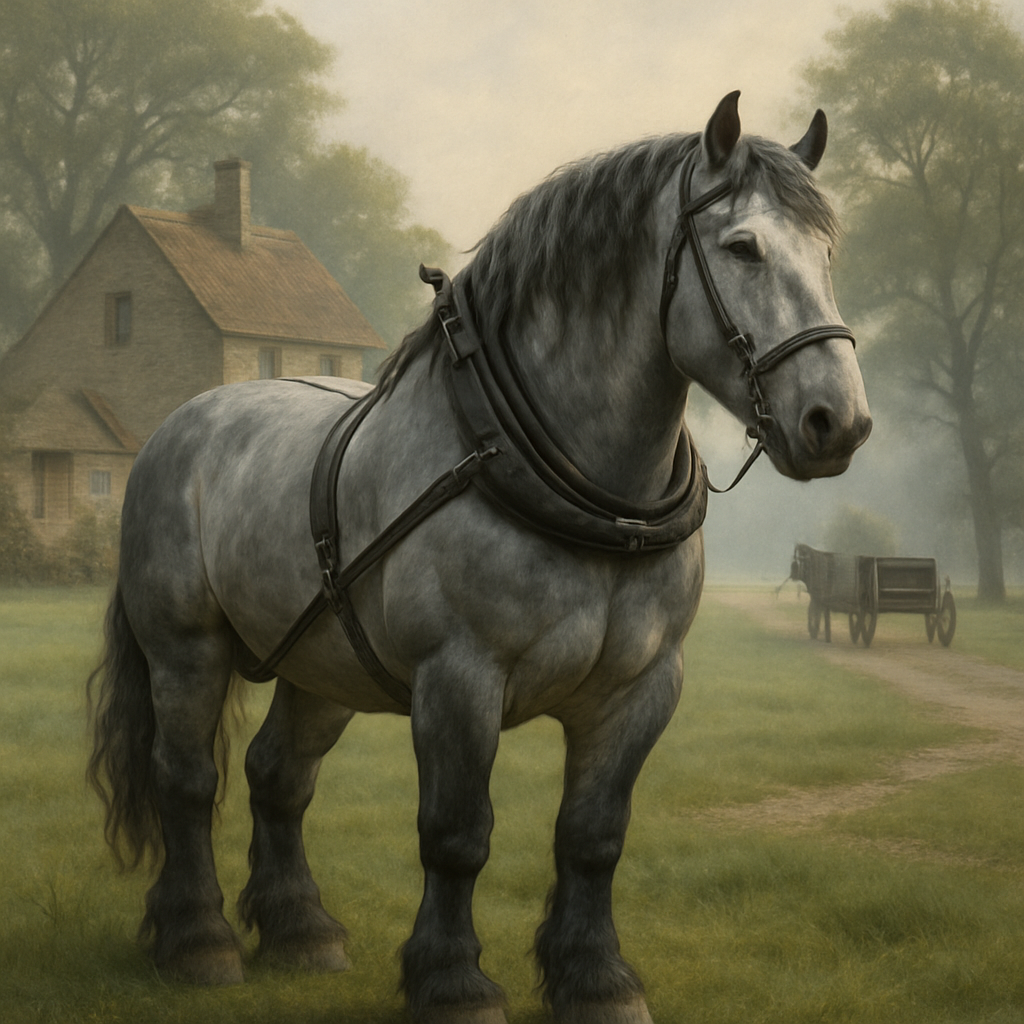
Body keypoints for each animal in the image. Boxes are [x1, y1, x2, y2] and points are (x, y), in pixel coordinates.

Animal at [87, 92, 871, 1024]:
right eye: (743, 246)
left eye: (828, 252)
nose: (838, 422)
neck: (578, 485)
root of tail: (186, 421)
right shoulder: (459, 679)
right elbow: (456, 836)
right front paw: (453, 981)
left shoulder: (640, 689)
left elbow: (592, 837)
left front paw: (596, 979)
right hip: (186, 650)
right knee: (186, 780)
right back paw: (195, 939)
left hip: (323, 665)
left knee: (278, 776)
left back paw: (301, 931)